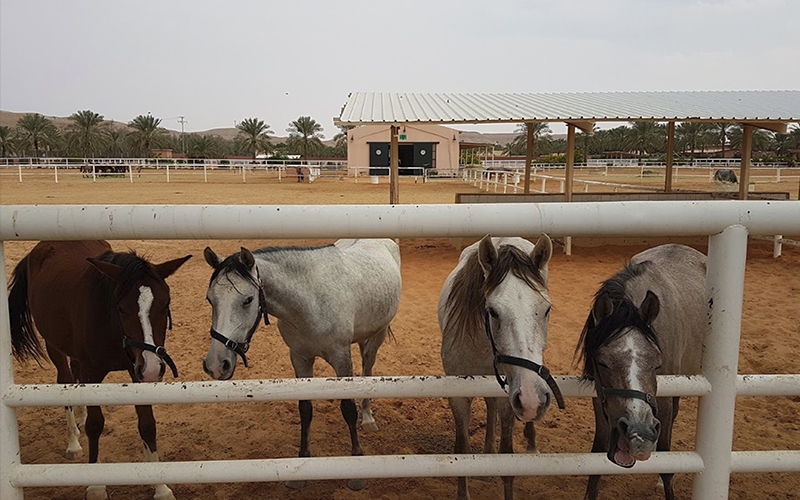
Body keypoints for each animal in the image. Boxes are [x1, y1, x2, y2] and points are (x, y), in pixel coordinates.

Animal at [7, 240, 191, 500]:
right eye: (121, 308)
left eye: (165, 304)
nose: (153, 367)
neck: (112, 326)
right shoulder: (93, 371)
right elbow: (96, 425)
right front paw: (95, 486)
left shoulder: (136, 372)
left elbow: (147, 425)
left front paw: (161, 488)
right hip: (54, 346)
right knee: (65, 382)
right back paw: (73, 442)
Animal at [202, 238, 402, 491]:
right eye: (210, 299)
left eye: (247, 300)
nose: (216, 365)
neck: (310, 300)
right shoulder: (300, 358)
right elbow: (305, 410)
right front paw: (302, 465)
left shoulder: (341, 358)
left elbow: (347, 408)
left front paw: (356, 467)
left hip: (378, 335)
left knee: (367, 368)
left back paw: (366, 416)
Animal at [438, 234, 564, 500]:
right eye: (492, 311)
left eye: (546, 309)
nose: (532, 400)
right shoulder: (458, 396)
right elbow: (461, 450)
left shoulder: (512, 396)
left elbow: (507, 457)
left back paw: (530, 444)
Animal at [574, 243, 707, 500]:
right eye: (603, 363)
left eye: (657, 363)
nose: (640, 433)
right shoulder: (601, 404)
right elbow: (596, 456)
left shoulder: (662, 402)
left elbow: (667, 465)